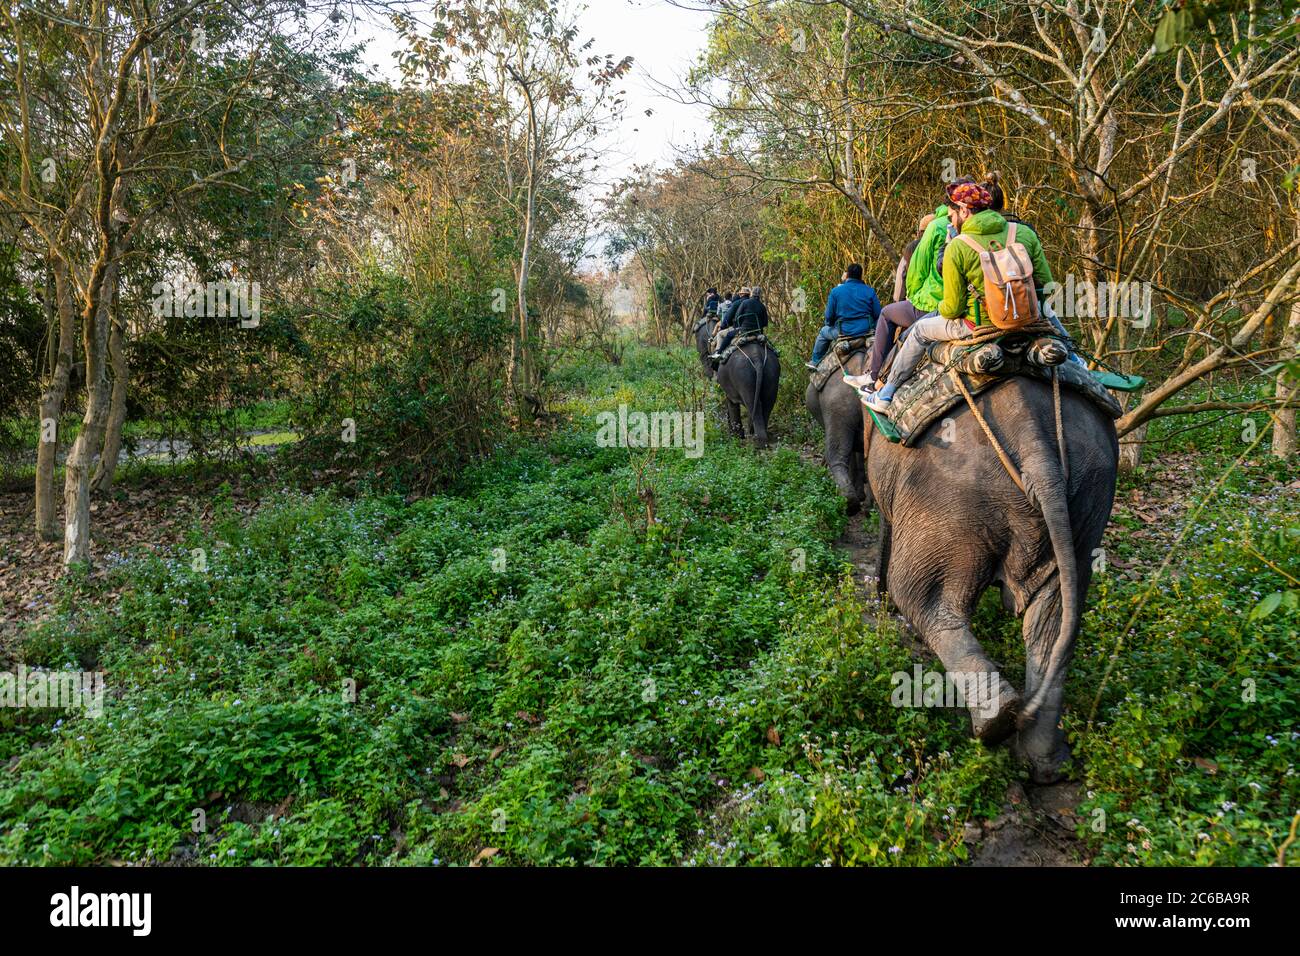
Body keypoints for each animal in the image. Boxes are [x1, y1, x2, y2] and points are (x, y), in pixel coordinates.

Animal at [866, 377, 1118, 783]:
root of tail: (1037, 451)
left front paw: (878, 597)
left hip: (945, 504)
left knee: (923, 596)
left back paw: (994, 722)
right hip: (1089, 500)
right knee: (1053, 623)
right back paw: (1044, 762)